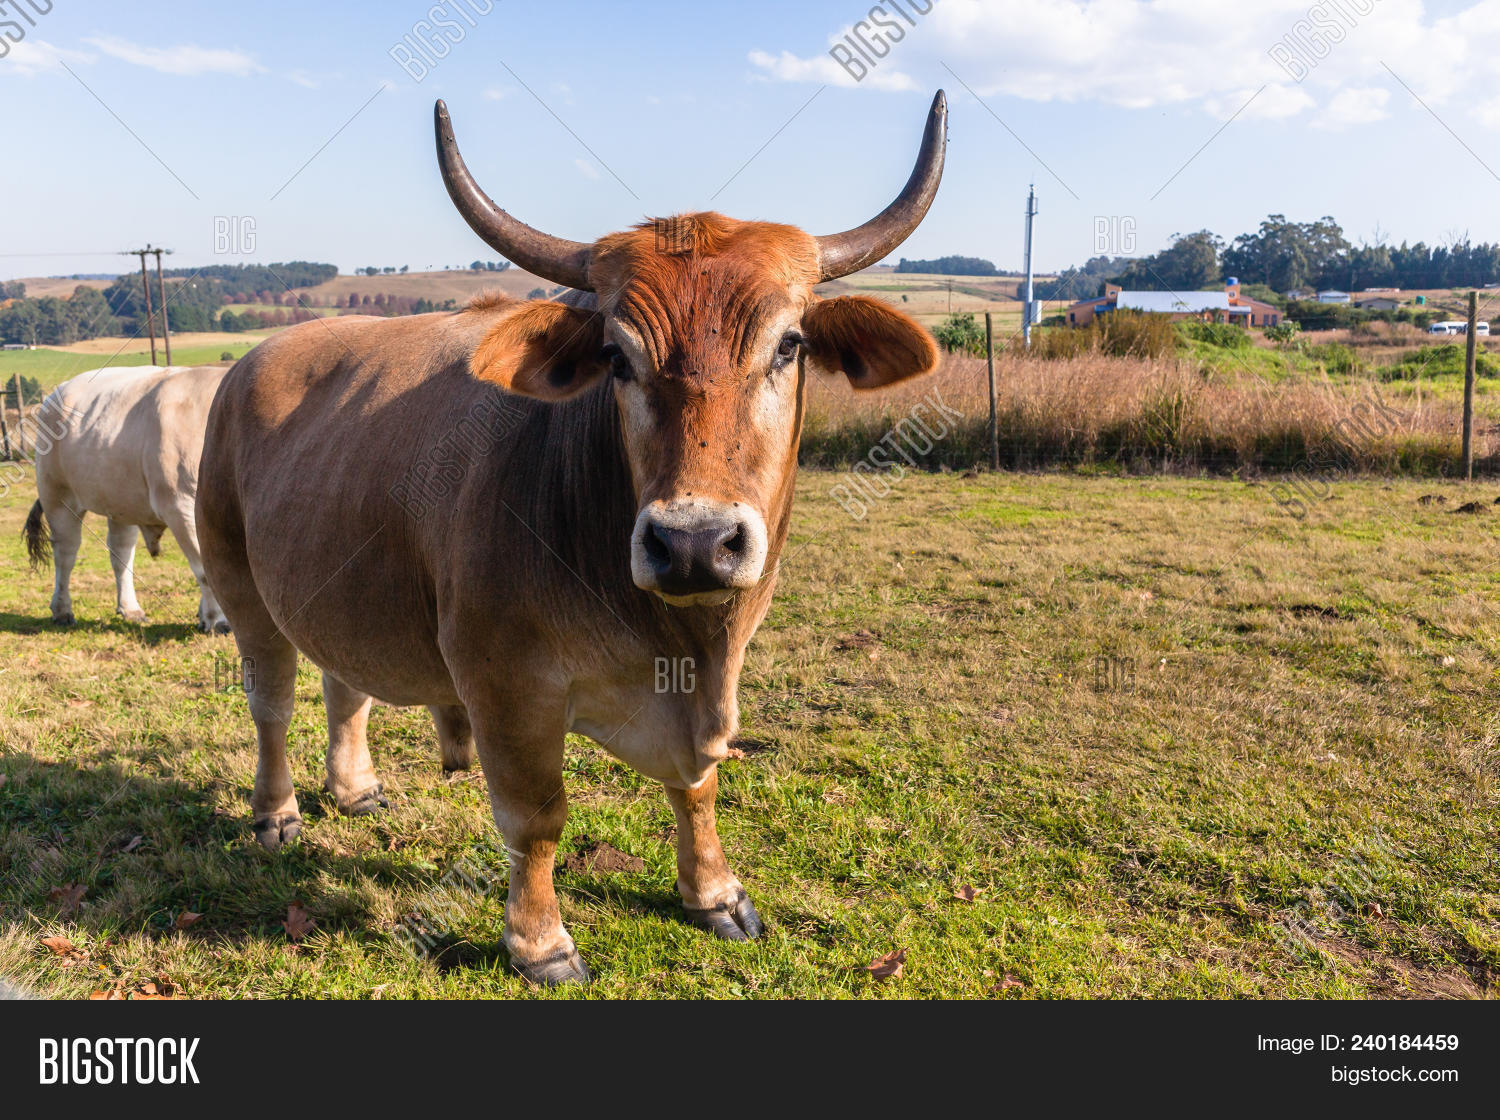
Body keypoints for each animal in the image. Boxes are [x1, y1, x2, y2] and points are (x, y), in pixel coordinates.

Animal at [23, 364, 231, 633]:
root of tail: (58, 392)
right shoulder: (180, 506)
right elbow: (207, 571)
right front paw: (217, 620)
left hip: (121, 502)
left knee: (121, 554)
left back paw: (130, 608)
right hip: (58, 496)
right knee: (65, 554)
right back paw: (62, 610)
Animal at [196, 92, 948, 984]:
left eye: (789, 345)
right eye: (617, 358)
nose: (694, 543)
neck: (682, 643)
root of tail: (255, 360)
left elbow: (699, 786)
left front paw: (714, 892)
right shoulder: (506, 685)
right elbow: (537, 815)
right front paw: (541, 941)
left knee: (346, 685)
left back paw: (354, 788)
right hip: (243, 589)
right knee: (270, 701)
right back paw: (275, 813)